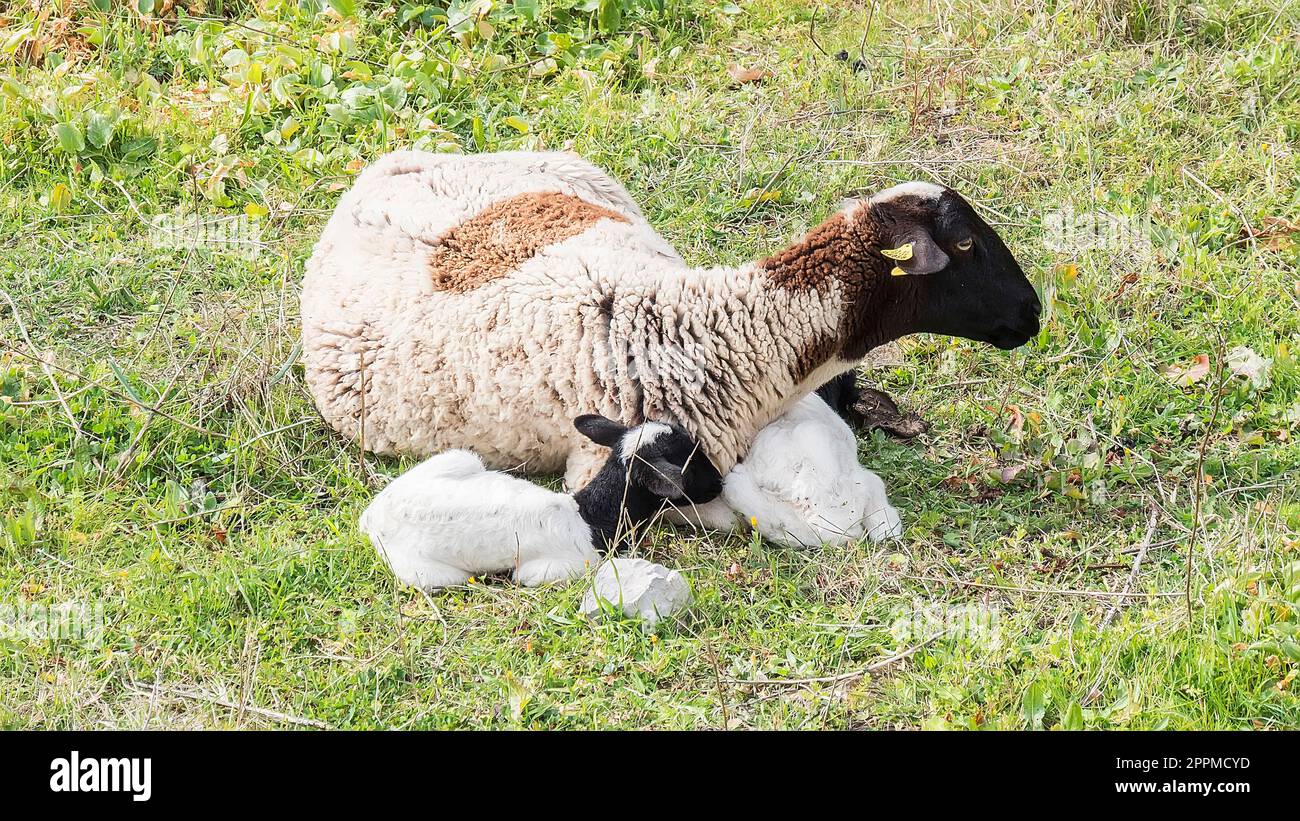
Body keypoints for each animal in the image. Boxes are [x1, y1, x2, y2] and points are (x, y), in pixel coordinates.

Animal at [358, 414, 723, 589]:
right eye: (689, 463)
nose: (719, 483)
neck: (589, 516)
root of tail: (373, 516)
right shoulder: (551, 570)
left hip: (459, 459)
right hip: (428, 573)